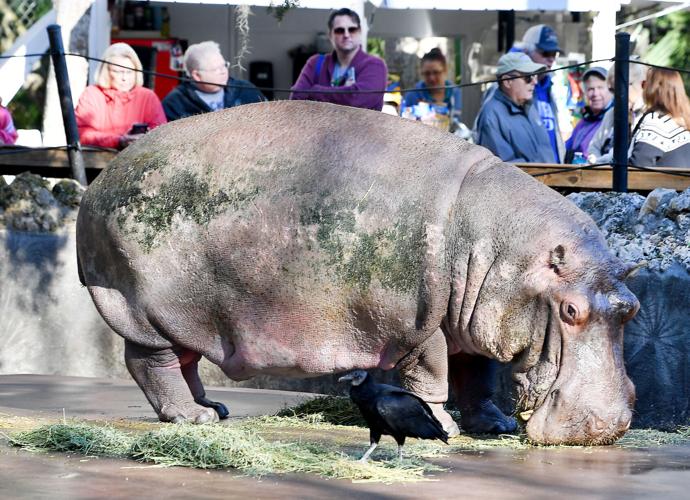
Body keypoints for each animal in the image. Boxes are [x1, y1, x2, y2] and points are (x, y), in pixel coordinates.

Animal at [76, 100, 639, 445]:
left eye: (632, 307)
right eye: (571, 310)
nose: (609, 426)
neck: (504, 249)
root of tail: (100, 182)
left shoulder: (472, 321)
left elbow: (476, 375)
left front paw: (493, 425)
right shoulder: (421, 326)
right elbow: (431, 375)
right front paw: (444, 428)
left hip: (191, 316)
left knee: (187, 361)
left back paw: (214, 408)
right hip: (146, 310)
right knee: (152, 363)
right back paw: (193, 419)